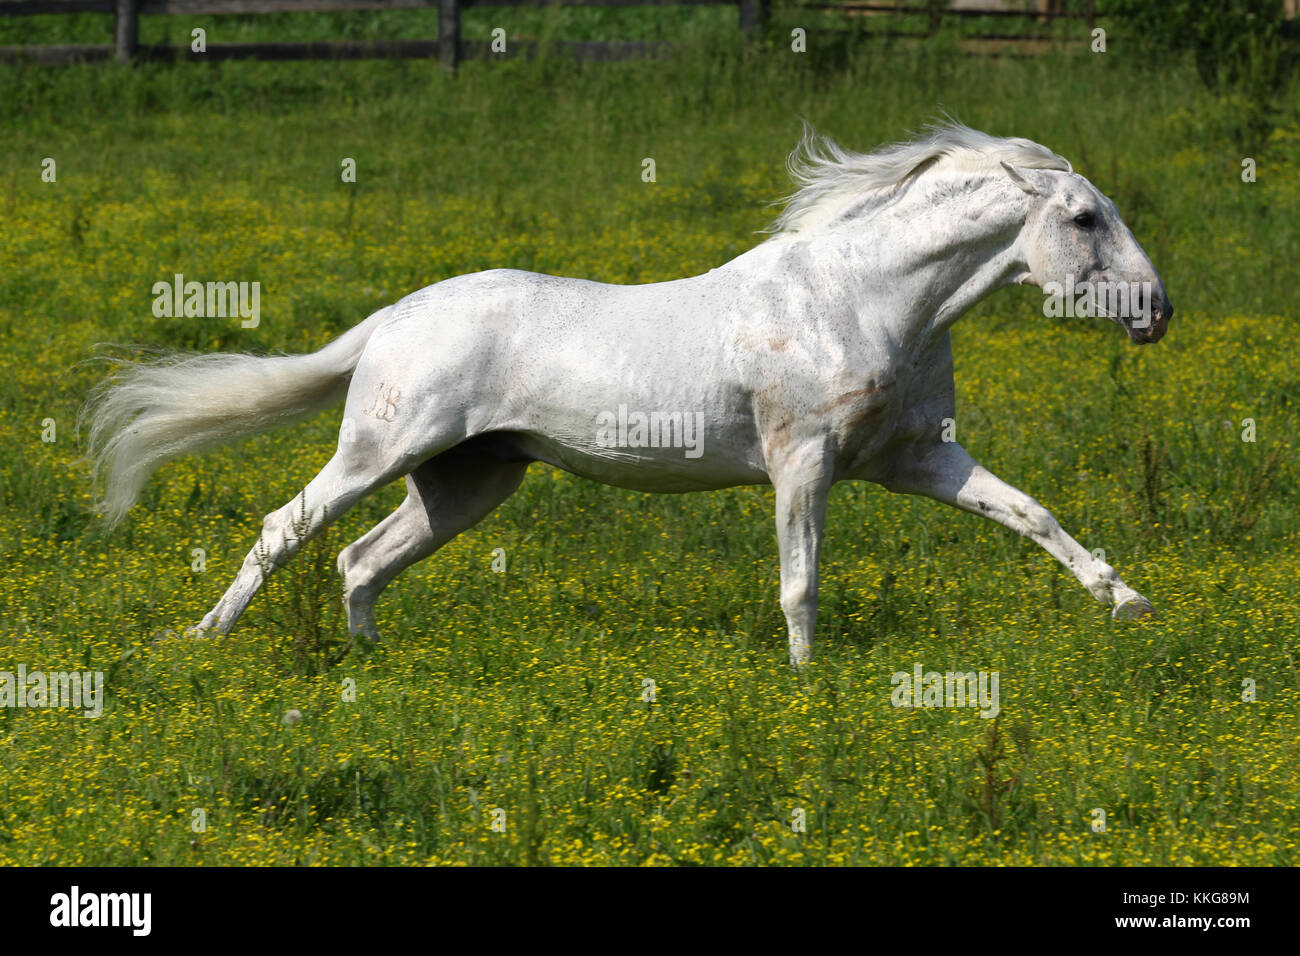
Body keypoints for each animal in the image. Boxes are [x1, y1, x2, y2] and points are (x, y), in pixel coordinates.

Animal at [86, 121, 1172, 667]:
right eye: (1083, 218)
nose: (1156, 311)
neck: (860, 300)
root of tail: (396, 315)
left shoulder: (913, 456)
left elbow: (1032, 513)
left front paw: (1127, 604)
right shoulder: (802, 460)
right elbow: (800, 578)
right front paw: (806, 682)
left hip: (469, 480)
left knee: (361, 559)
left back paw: (369, 664)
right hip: (383, 450)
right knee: (288, 525)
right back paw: (204, 641)